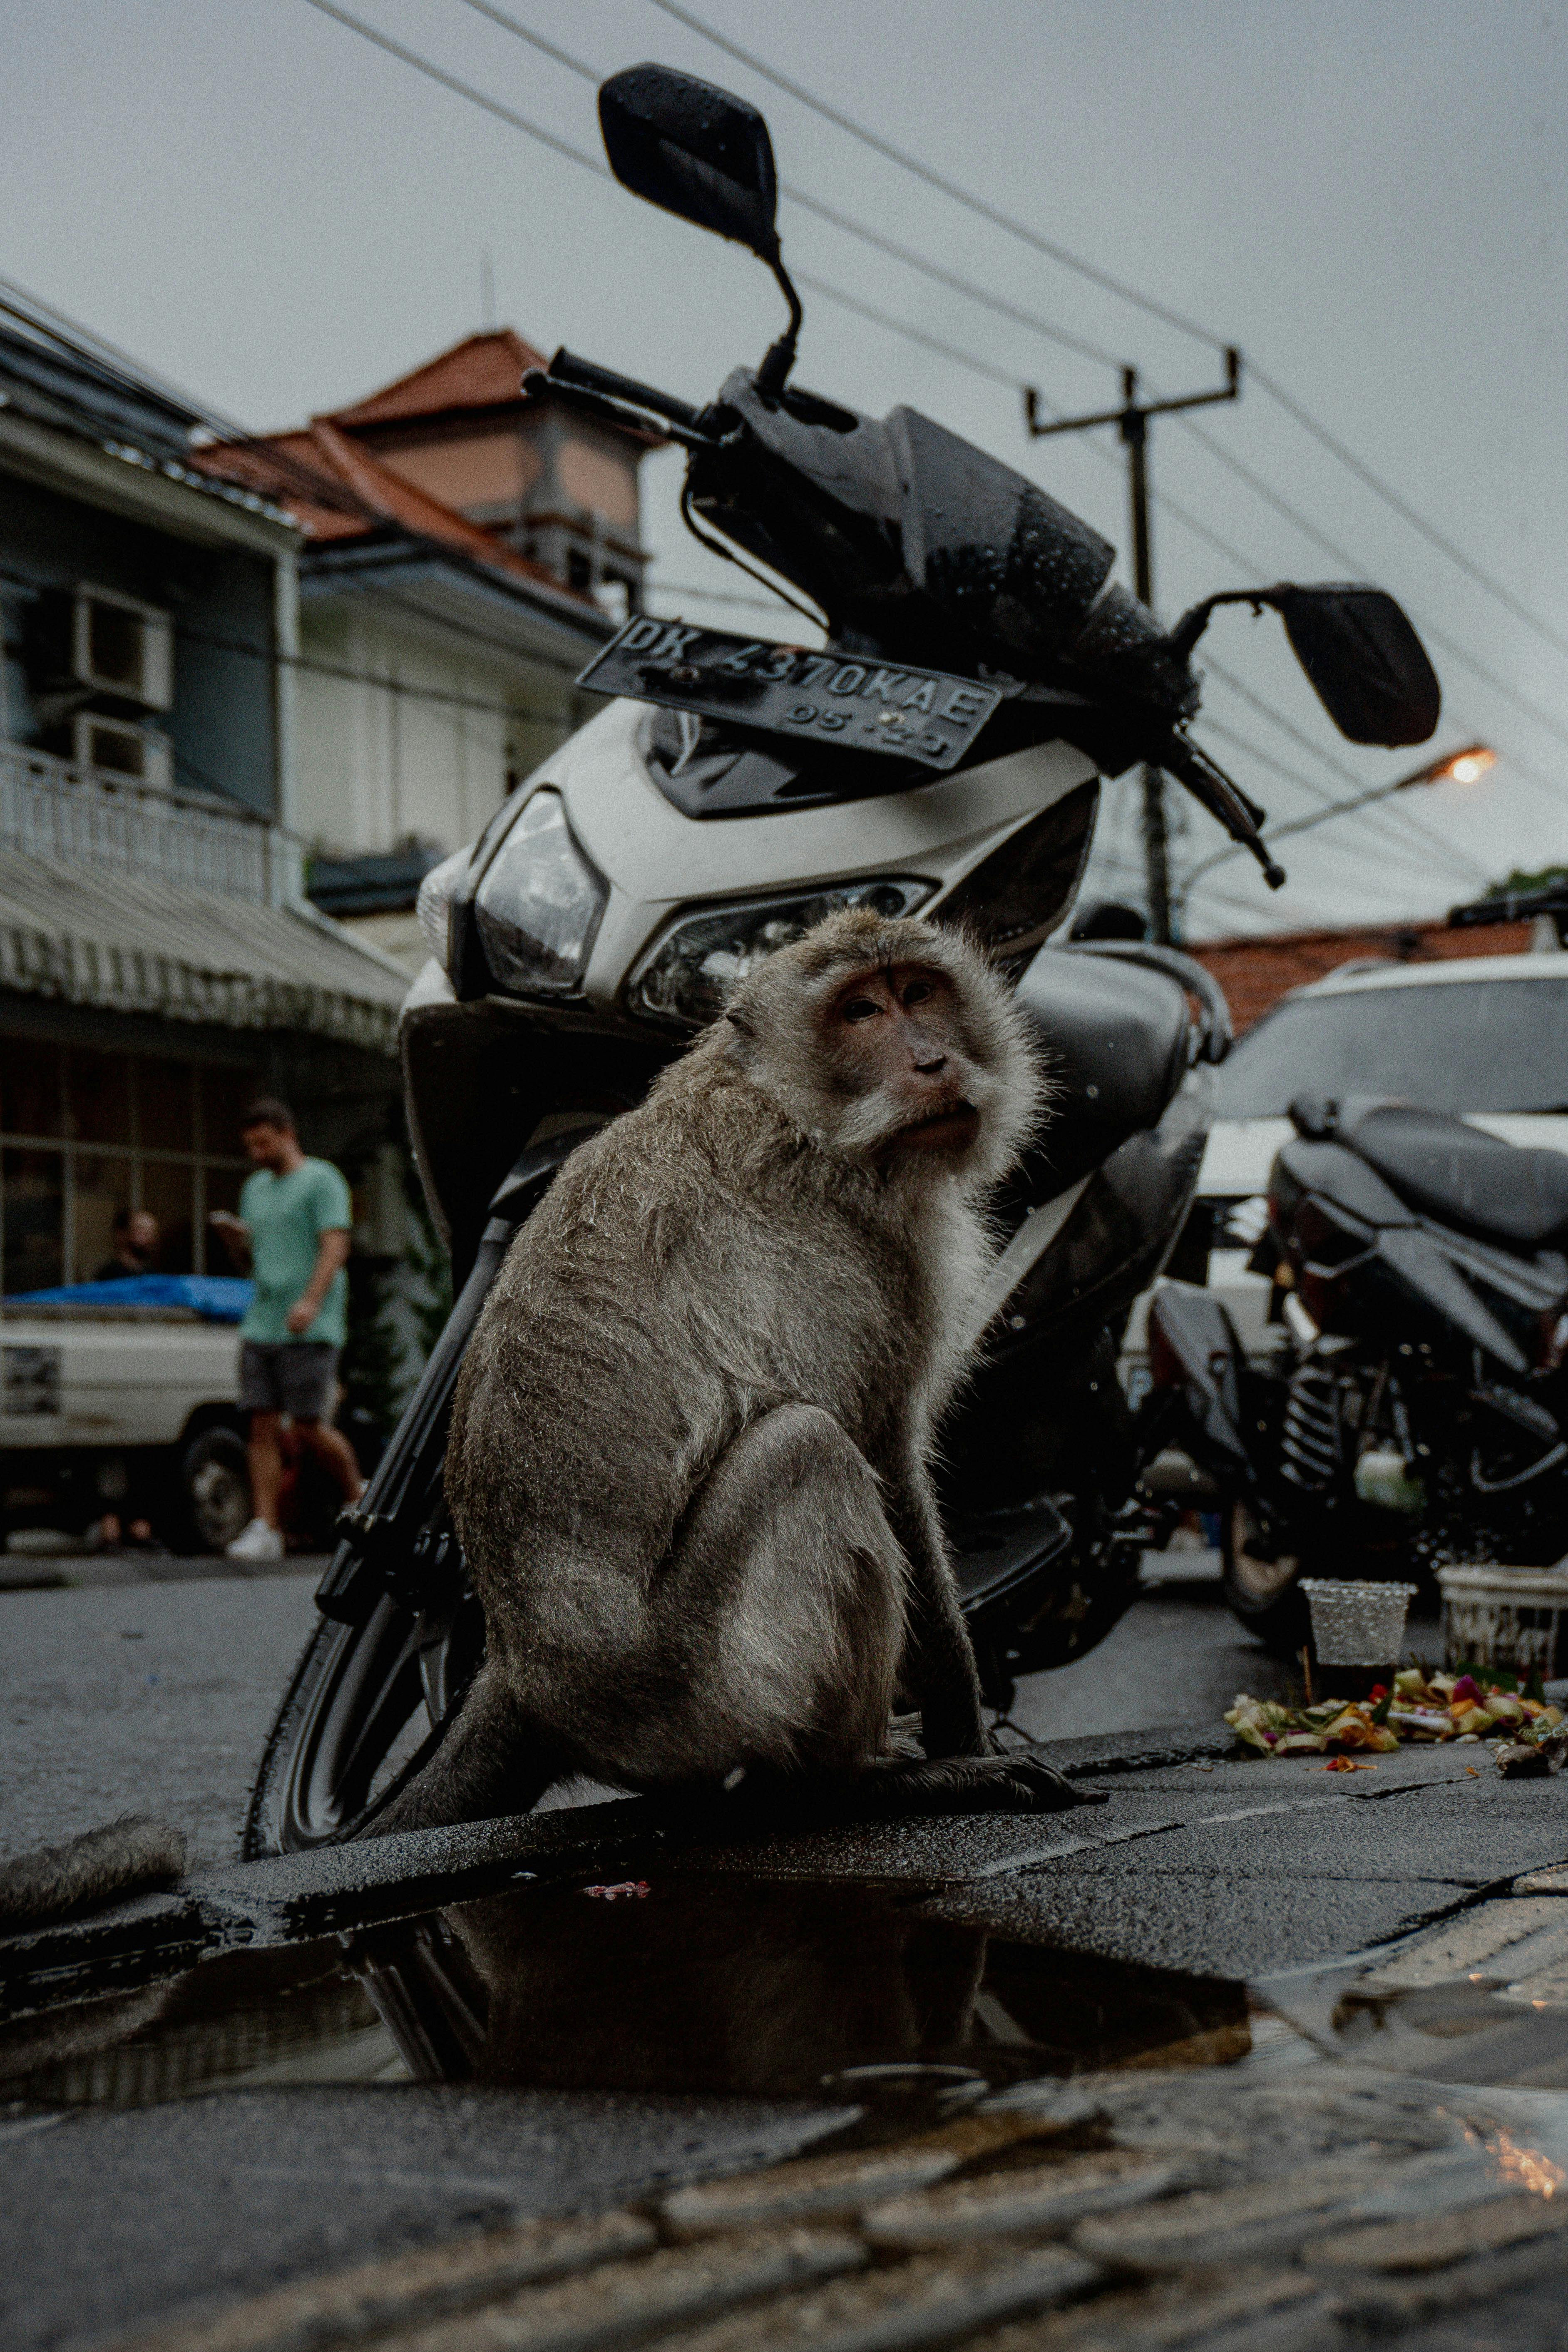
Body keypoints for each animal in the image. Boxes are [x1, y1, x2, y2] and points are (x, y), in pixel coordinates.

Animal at [368, 906, 1089, 1840]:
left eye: (918, 991)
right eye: (860, 1011)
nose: (932, 1062)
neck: (789, 1104)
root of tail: (522, 1675)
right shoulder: (860, 1263)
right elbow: (878, 1451)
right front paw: (963, 1735)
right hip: (693, 1695)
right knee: (806, 1445)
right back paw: (858, 1781)